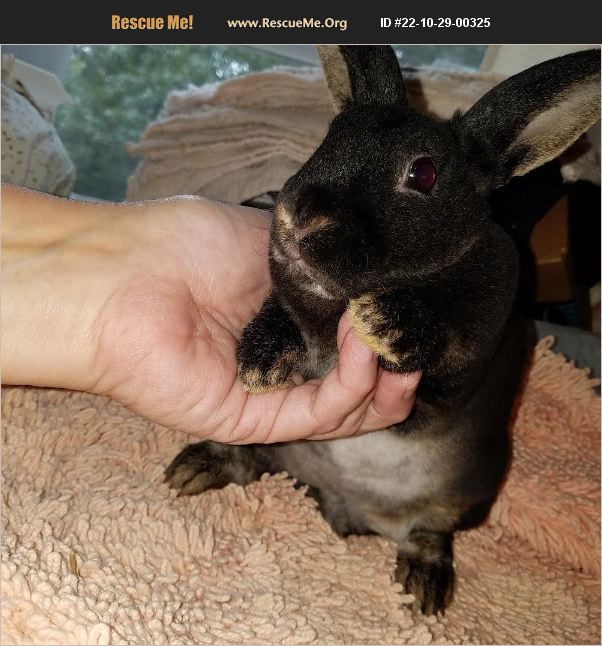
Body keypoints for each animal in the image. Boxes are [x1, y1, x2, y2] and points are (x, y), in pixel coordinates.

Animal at [165, 46, 601, 615]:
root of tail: (346, 509)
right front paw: (260, 362)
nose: (299, 218)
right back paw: (198, 466)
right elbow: (280, 314)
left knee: (431, 532)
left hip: (469, 490)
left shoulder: (459, 367)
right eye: (329, 137)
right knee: (253, 458)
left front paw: (385, 323)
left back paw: (422, 586)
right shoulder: (288, 302)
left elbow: (445, 341)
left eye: (424, 174)